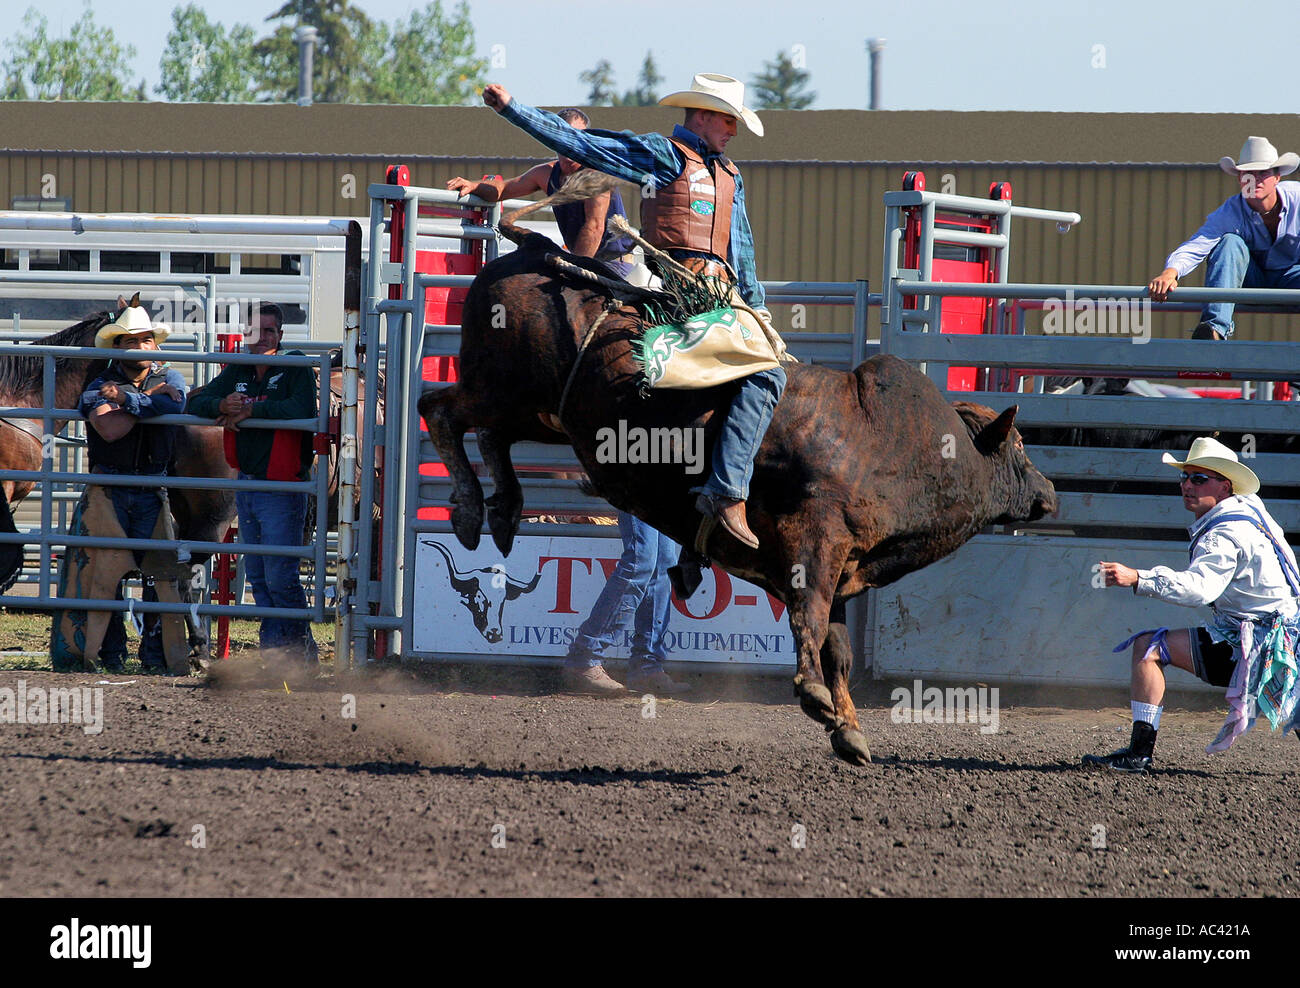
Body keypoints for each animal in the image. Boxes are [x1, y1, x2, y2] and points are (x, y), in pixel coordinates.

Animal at [418, 226, 1058, 765]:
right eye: (1018, 447)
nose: (1050, 493)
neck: (891, 441)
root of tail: (525, 255)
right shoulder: (814, 543)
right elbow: (808, 618)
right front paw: (816, 698)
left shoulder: (845, 566)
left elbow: (839, 647)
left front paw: (849, 729)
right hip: (502, 388)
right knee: (440, 408)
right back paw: (473, 508)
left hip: (538, 411)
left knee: (490, 436)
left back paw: (501, 512)